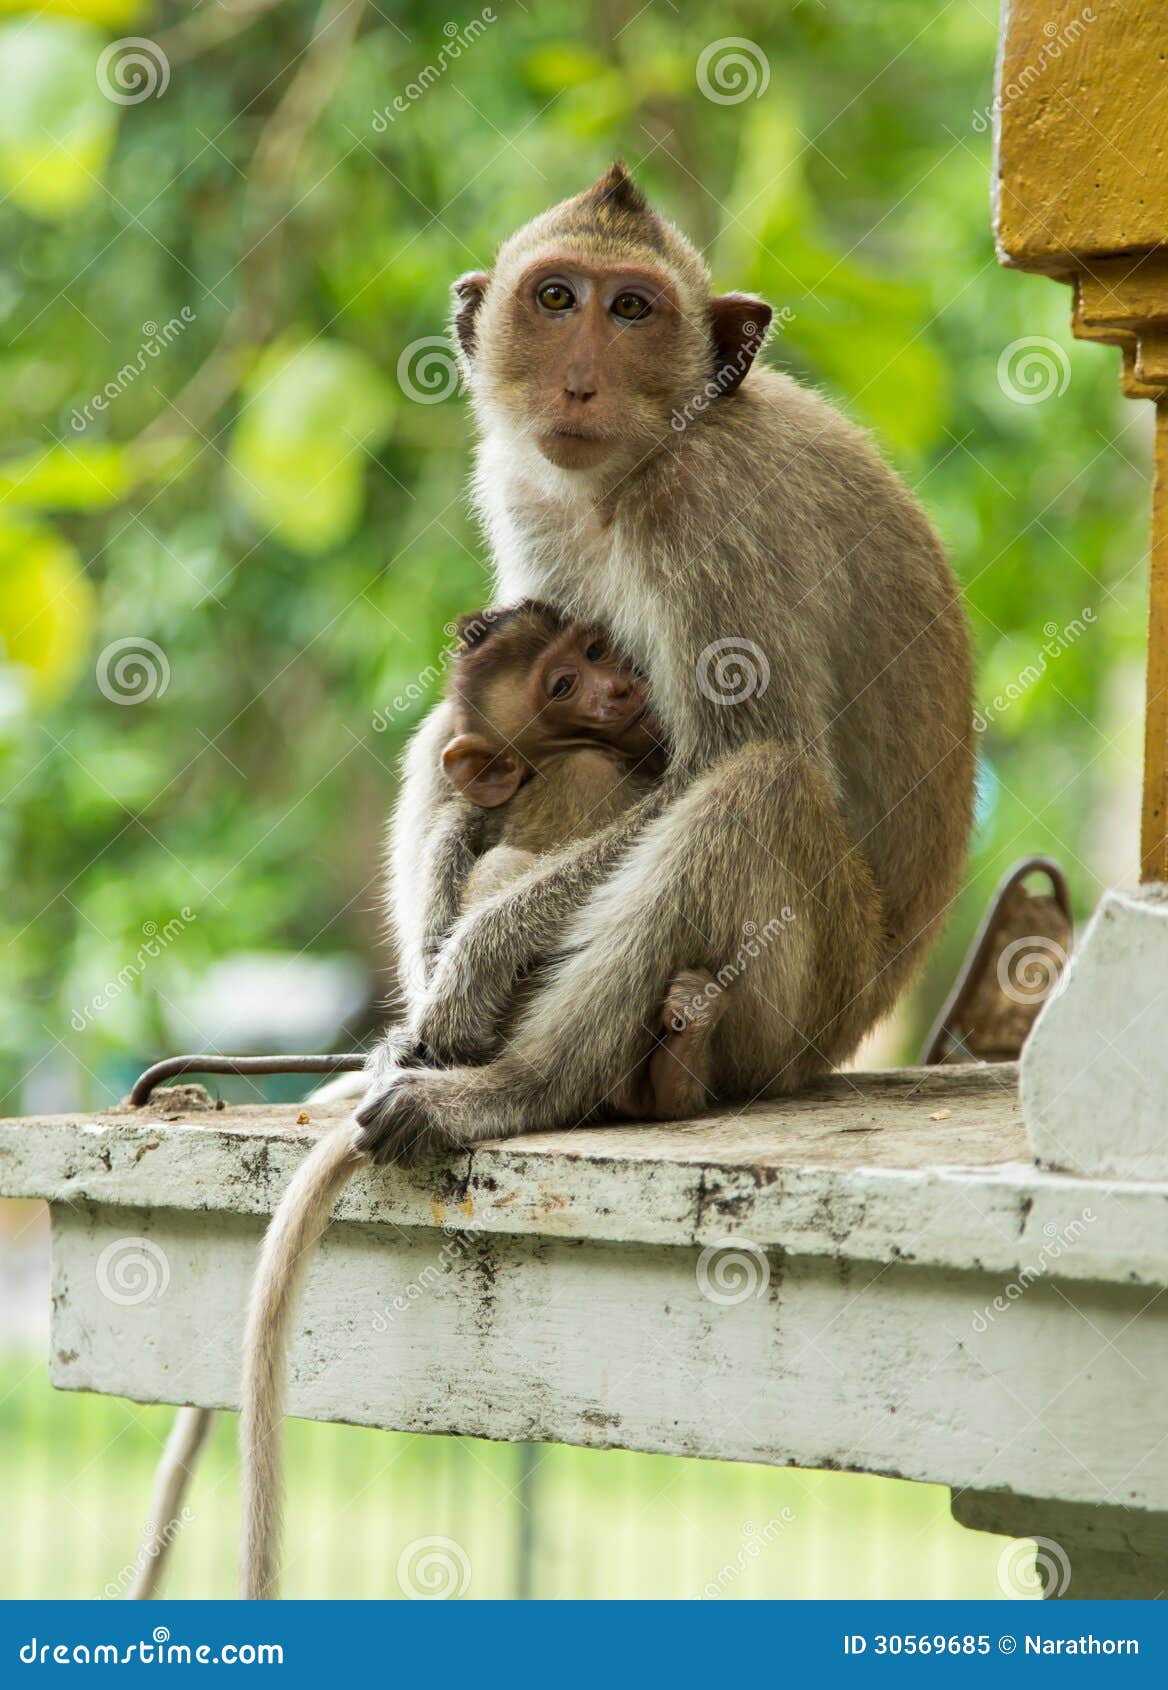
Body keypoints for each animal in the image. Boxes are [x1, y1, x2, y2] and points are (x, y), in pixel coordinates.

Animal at [353, 160, 974, 1166]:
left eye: (633, 311)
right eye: (556, 299)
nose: (577, 383)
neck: (642, 463)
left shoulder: (706, 510)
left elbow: (713, 757)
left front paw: (478, 956)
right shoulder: (521, 485)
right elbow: (481, 704)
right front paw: (445, 921)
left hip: (805, 1007)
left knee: (756, 786)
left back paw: (517, 1091)